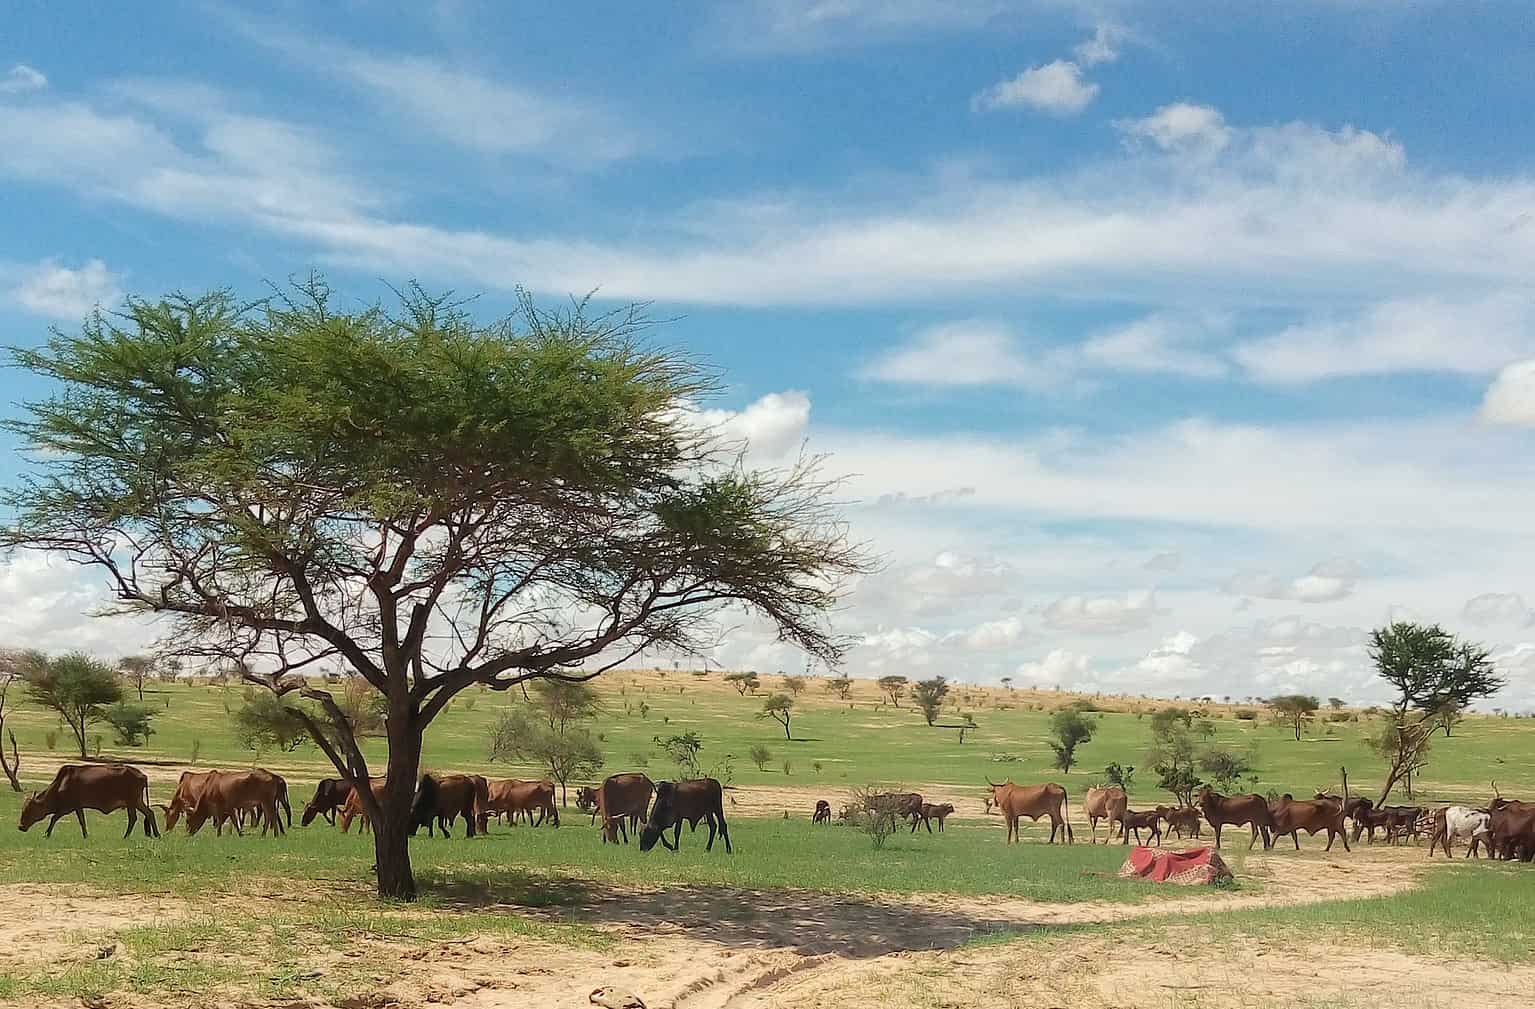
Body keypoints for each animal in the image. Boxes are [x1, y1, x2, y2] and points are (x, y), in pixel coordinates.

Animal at [19, 764, 158, 839]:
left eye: (28, 810)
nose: (20, 827)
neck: (61, 784)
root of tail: (142, 775)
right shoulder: (78, 807)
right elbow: (82, 821)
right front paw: (86, 835)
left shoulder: (69, 807)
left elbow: (54, 818)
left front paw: (46, 834)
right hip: (137, 802)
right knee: (149, 813)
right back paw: (157, 835)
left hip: (132, 802)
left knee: (133, 818)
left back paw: (125, 836)